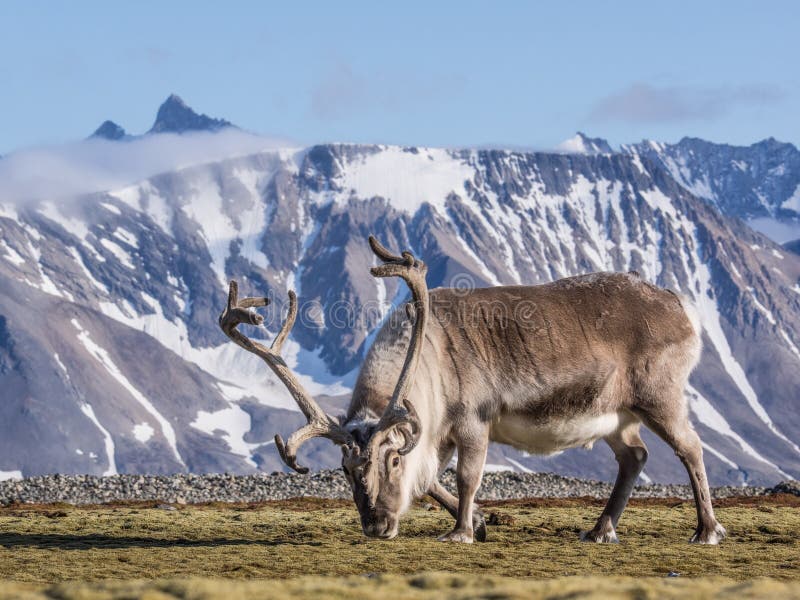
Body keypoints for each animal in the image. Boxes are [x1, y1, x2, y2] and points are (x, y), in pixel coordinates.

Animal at [219, 236, 726, 545]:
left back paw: (706, 530)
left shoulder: (472, 421)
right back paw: (600, 529)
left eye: (392, 459)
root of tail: (681, 307)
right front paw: (479, 521)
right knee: (635, 456)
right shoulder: (434, 432)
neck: (428, 361)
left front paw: (461, 530)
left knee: (691, 448)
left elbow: (465, 477)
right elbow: (429, 481)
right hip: (616, 416)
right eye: (344, 469)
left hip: (659, 395)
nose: (377, 525)